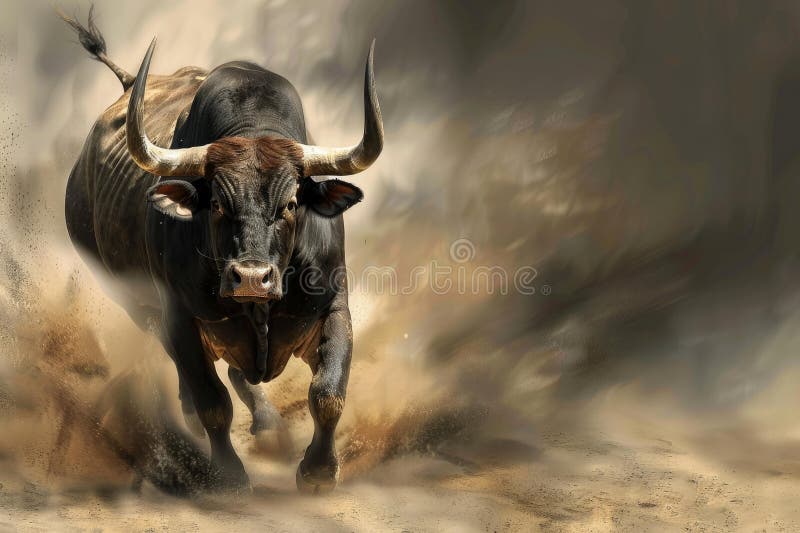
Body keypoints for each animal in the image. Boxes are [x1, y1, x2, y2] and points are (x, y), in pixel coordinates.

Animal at [61, 10, 383, 493]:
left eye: (291, 203)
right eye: (215, 202)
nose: (251, 278)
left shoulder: (334, 307)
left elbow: (328, 393)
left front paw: (318, 470)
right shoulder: (179, 316)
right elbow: (212, 402)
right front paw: (228, 475)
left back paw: (270, 427)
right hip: (136, 305)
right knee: (199, 376)